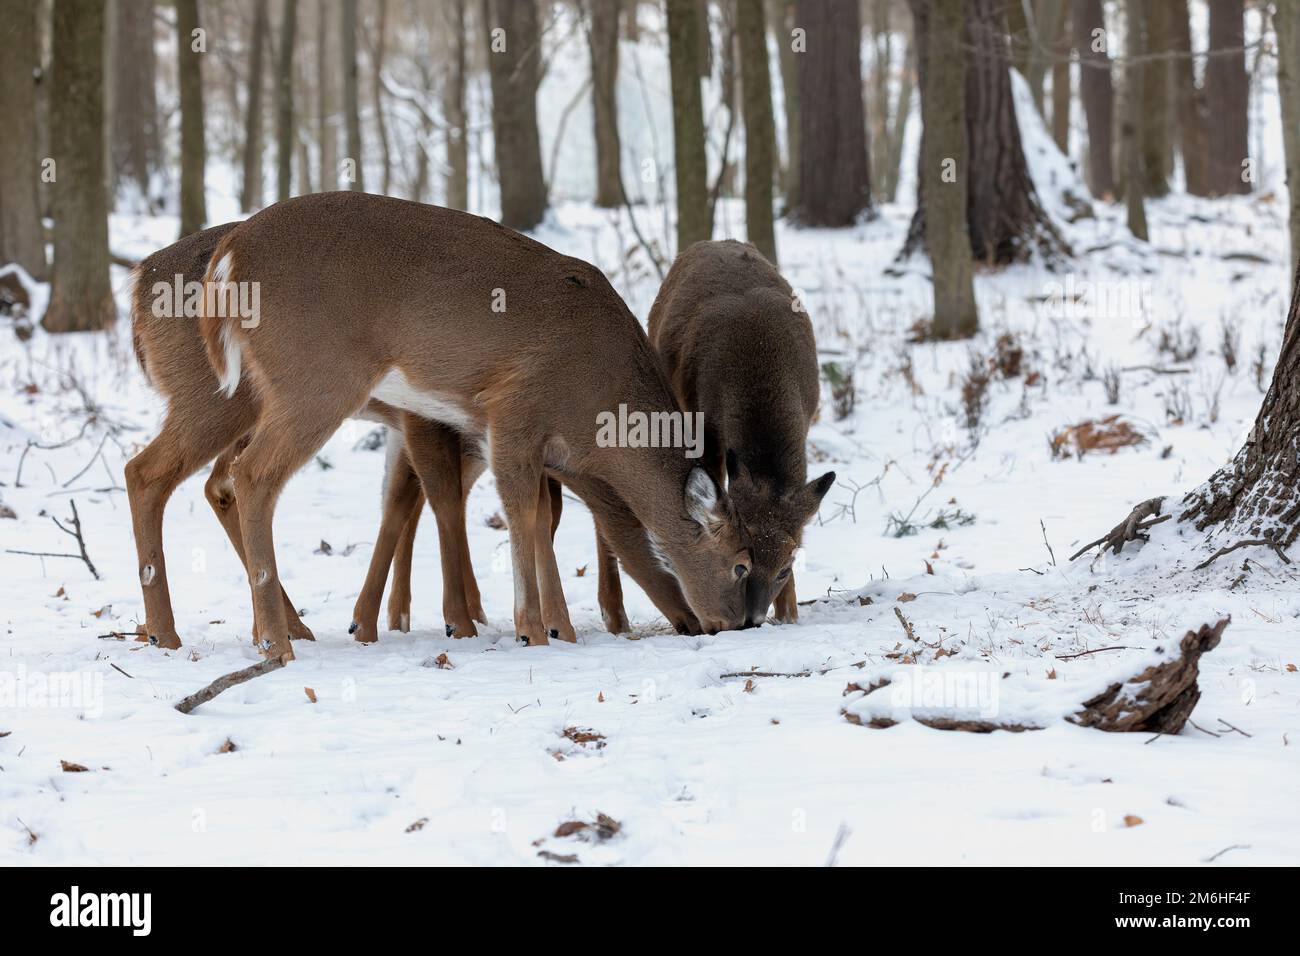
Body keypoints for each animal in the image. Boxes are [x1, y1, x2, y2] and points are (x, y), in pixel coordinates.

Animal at [196, 192, 751, 661]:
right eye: (742, 563)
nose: (733, 623)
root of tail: (229, 253)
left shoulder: (526, 441)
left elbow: (540, 518)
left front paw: (559, 628)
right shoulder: (513, 409)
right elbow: (521, 512)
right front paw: (531, 630)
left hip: (275, 390)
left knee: (233, 475)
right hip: (316, 379)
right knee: (252, 475)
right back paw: (277, 643)